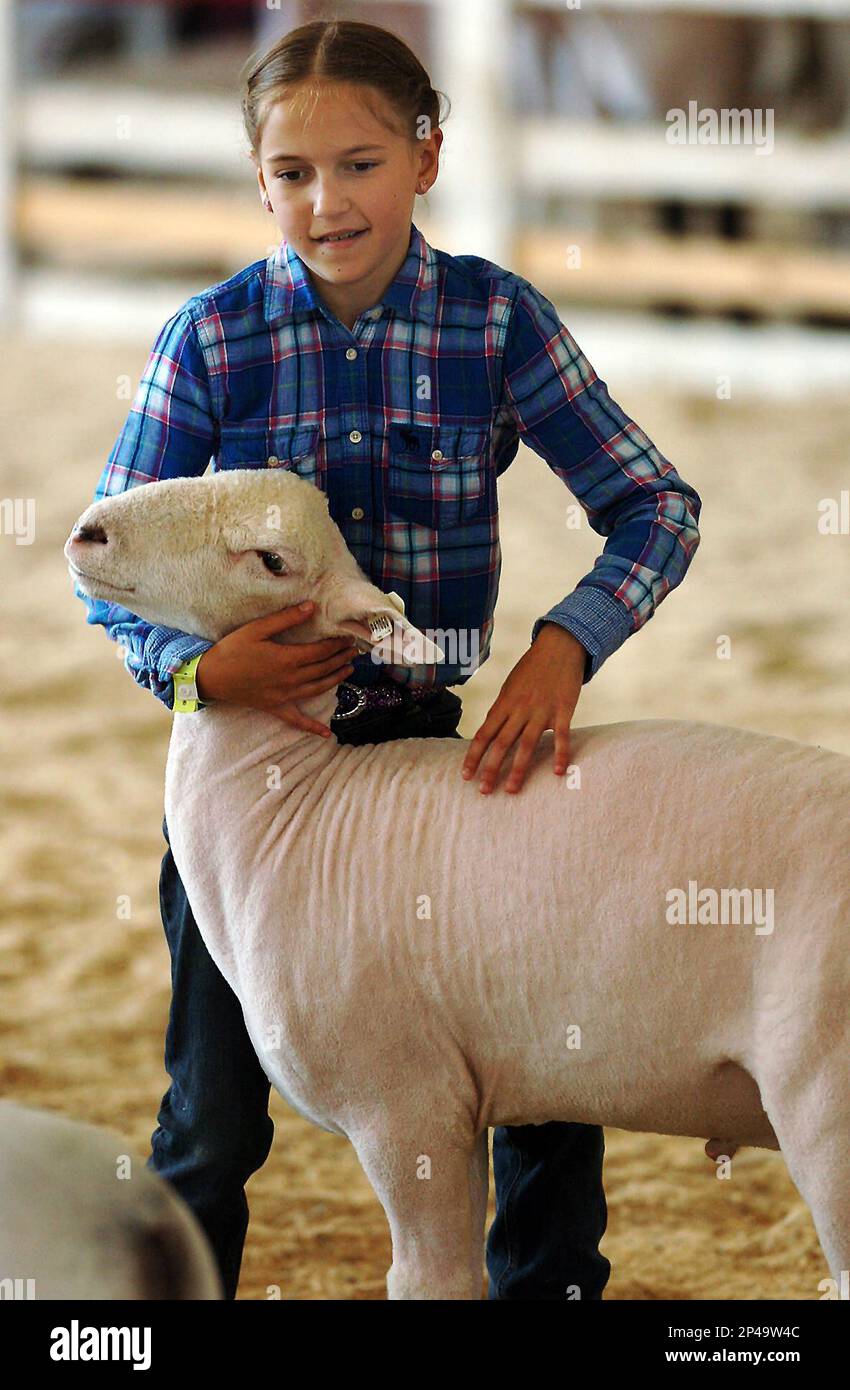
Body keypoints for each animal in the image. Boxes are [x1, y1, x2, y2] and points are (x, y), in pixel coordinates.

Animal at [64, 467, 850, 1301]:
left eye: (271, 561)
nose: (89, 533)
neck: (292, 812)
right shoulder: (456, 1104)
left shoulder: (407, 1108)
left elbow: (430, 1276)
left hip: (826, 1102)